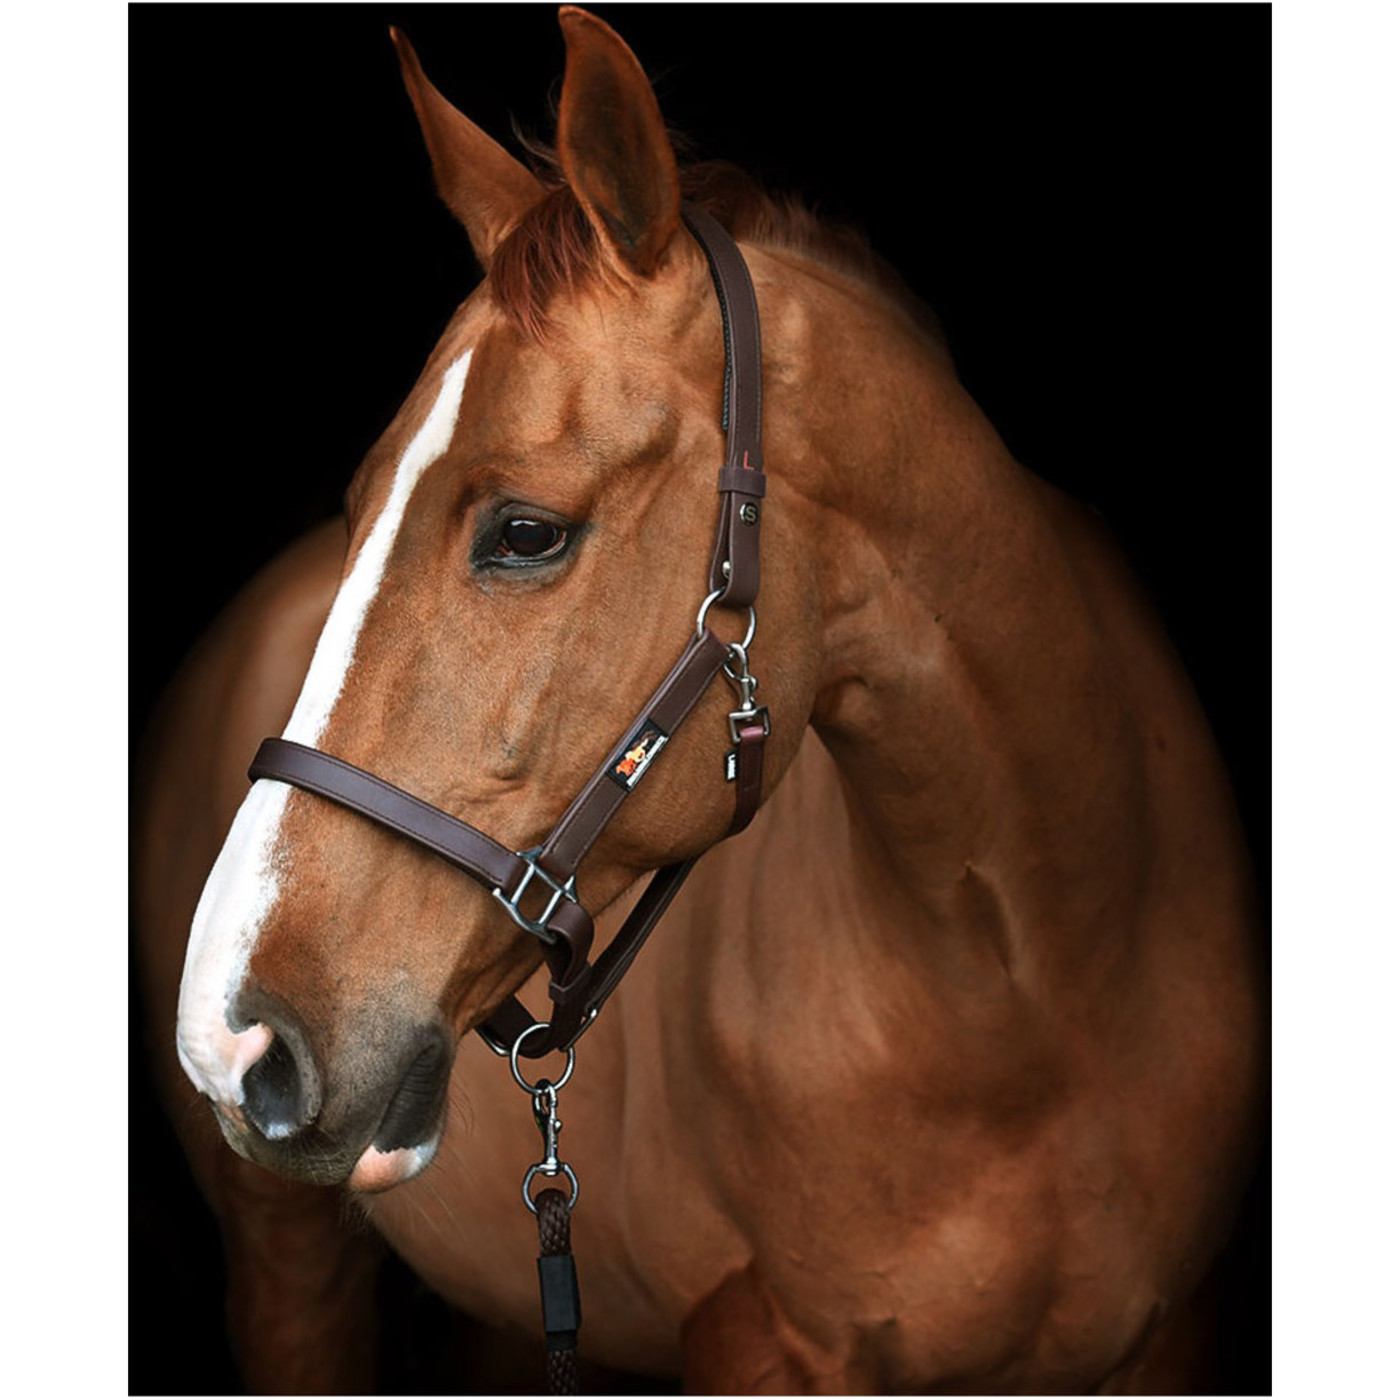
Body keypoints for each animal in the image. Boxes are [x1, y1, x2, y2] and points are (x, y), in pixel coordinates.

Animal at [134, 8, 1263, 1393]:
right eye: (358, 504)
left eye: (526, 531)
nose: (229, 1033)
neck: (1037, 978)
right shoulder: (755, 1343)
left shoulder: (1178, 1330)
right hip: (289, 1260)